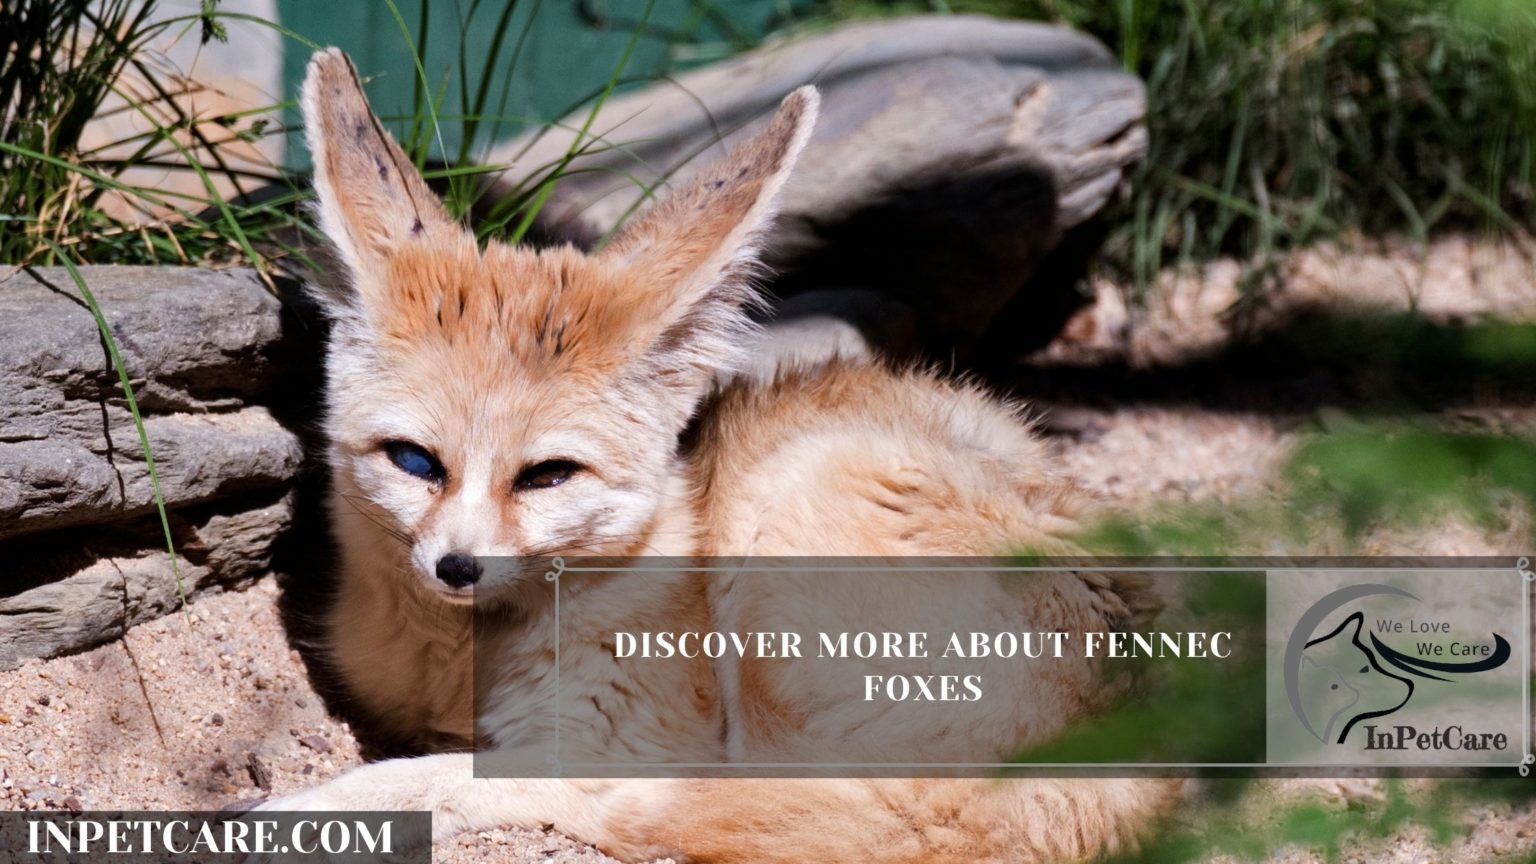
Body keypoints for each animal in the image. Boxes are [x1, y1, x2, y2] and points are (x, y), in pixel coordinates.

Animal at [260, 48, 1179, 863]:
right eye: (416, 461)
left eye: (548, 475)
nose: (457, 568)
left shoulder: (626, 734)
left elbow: (445, 776)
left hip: (792, 500)